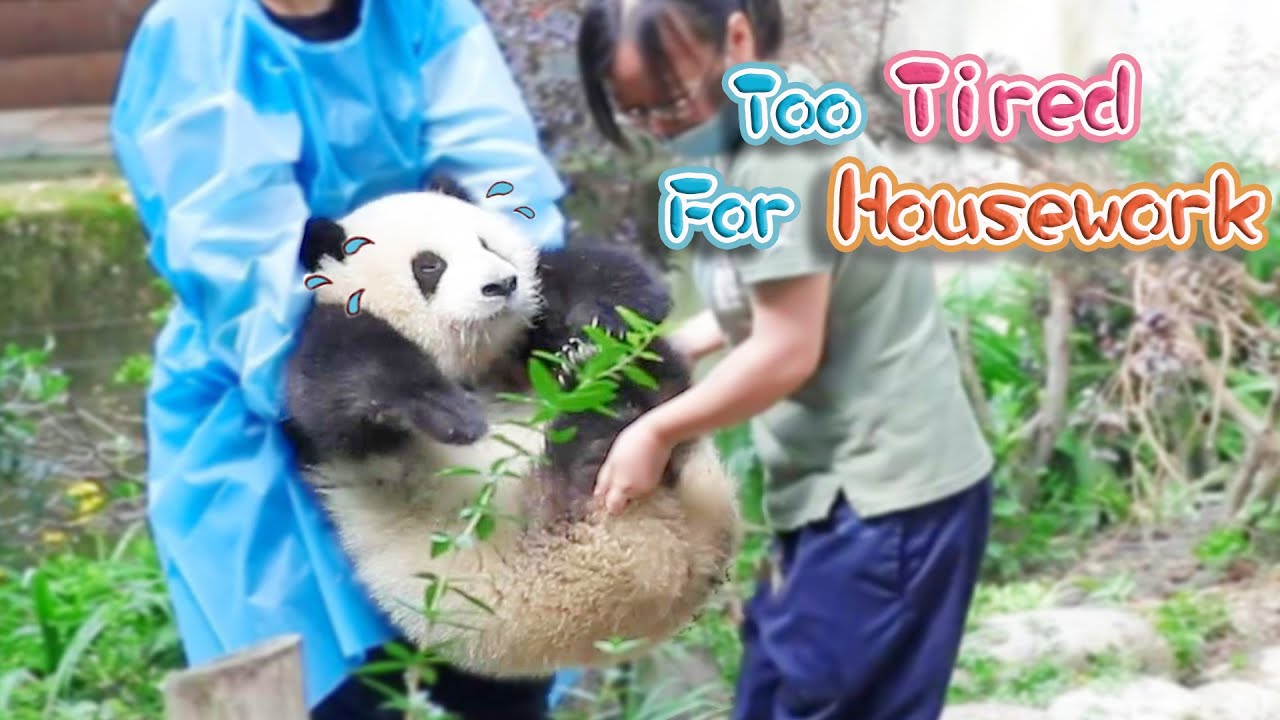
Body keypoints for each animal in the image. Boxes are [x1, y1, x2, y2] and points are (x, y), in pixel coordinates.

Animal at [281, 187, 743, 679]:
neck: (476, 367)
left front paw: (603, 323)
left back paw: (604, 375)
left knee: (657, 370)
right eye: (429, 266)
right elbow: (336, 379)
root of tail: (683, 565)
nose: (501, 285)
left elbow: (589, 273)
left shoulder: (532, 326)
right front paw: (445, 409)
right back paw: (602, 413)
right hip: (556, 548)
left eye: (487, 244)